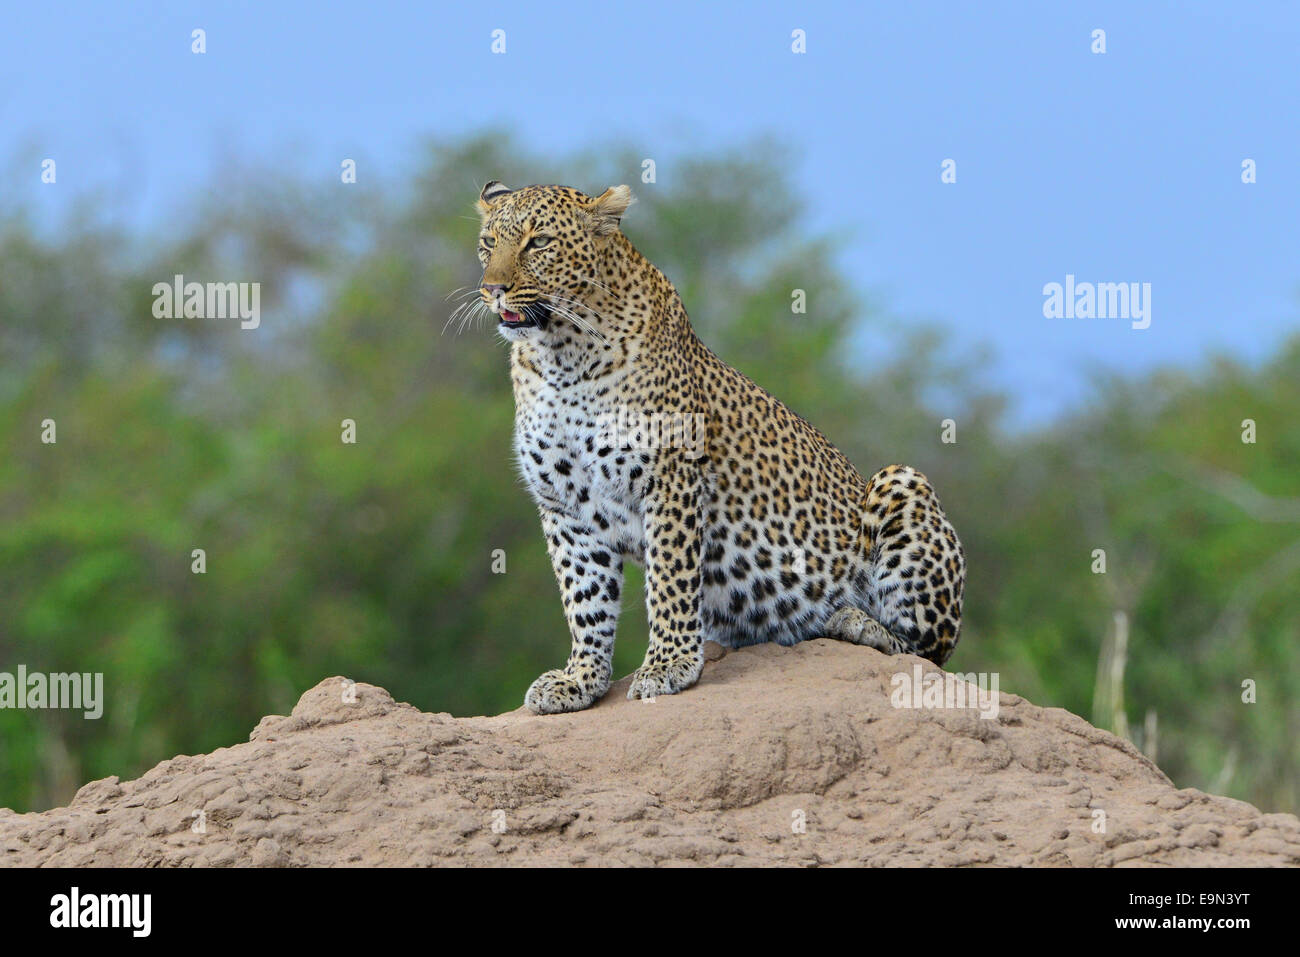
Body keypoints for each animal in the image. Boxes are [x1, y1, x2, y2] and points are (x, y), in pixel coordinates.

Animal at [470, 180, 965, 714]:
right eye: (487, 243)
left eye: (538, 243)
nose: (492, 289)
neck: (558, 356)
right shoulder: (564, 505)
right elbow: (584, 598)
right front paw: (580, 679)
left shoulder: (669, 480)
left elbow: (670, 579)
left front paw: (668, 665)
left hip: (902, 481)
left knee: (924, 653)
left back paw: (853, 621)